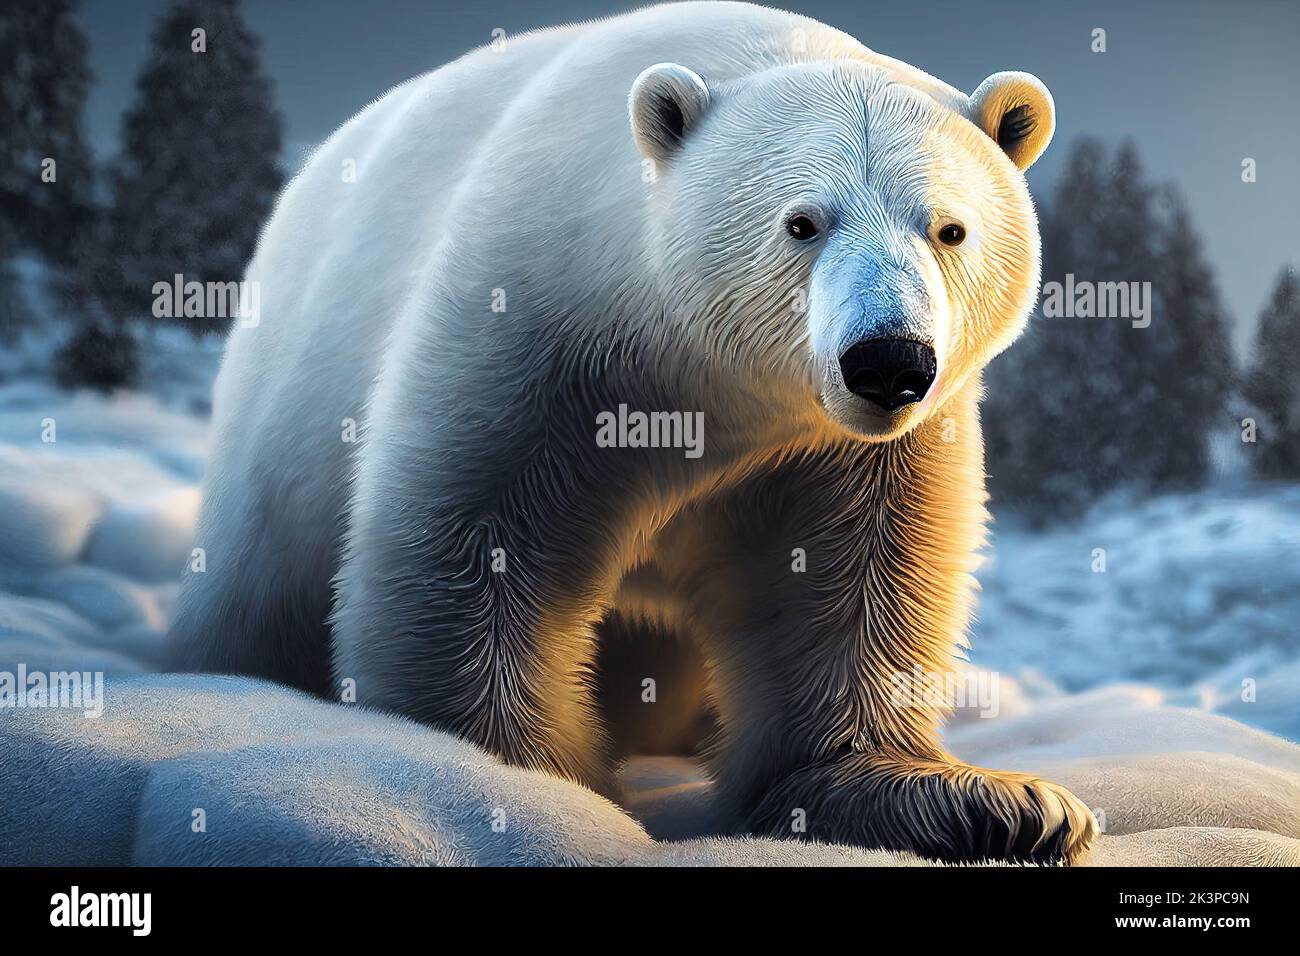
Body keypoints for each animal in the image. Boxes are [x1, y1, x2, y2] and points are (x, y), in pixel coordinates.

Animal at [169, 0, 1097, 864]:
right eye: (802, 222)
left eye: (949, 227)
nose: (888, 361)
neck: (701, 374)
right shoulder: (542, 326)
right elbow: (475, 544)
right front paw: (526, 784)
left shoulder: (840, 444)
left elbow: (854, 577)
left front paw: (985, 803)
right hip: (285, 418)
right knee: (258, 590)